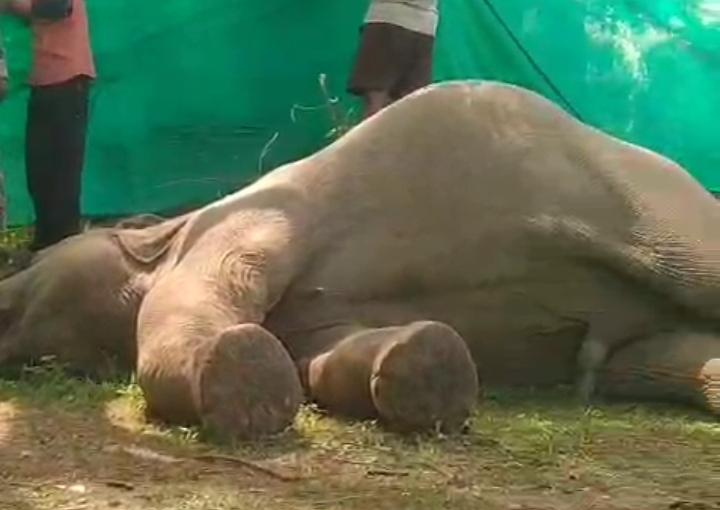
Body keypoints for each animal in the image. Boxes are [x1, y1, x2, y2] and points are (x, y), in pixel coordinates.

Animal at [0, 80, 717, 440]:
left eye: (31, 269)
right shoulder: (309, 320)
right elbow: (331, 357)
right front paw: (428, 375)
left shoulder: (245, 220)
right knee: (663, 358)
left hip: (660, 213)